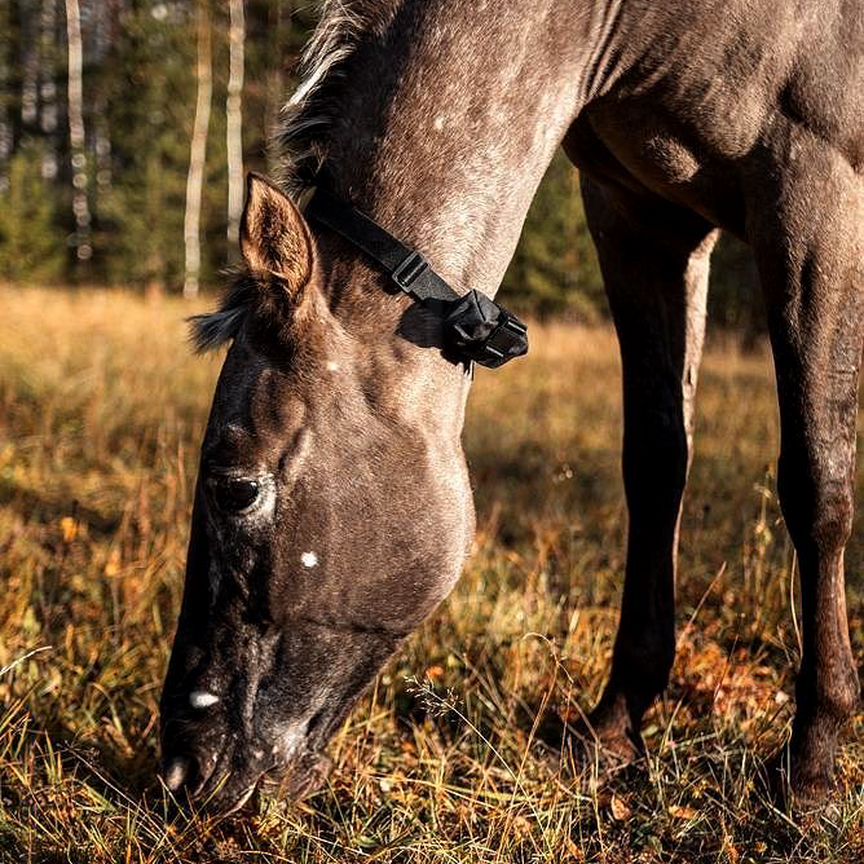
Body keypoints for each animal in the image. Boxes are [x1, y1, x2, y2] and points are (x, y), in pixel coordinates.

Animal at [159, 0, 860, 812]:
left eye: (237, 489)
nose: (180, 768)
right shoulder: (639, 218)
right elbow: (656, 466)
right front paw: (614, 726)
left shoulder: (819, 194)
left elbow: (817, 484)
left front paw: (812, 762)